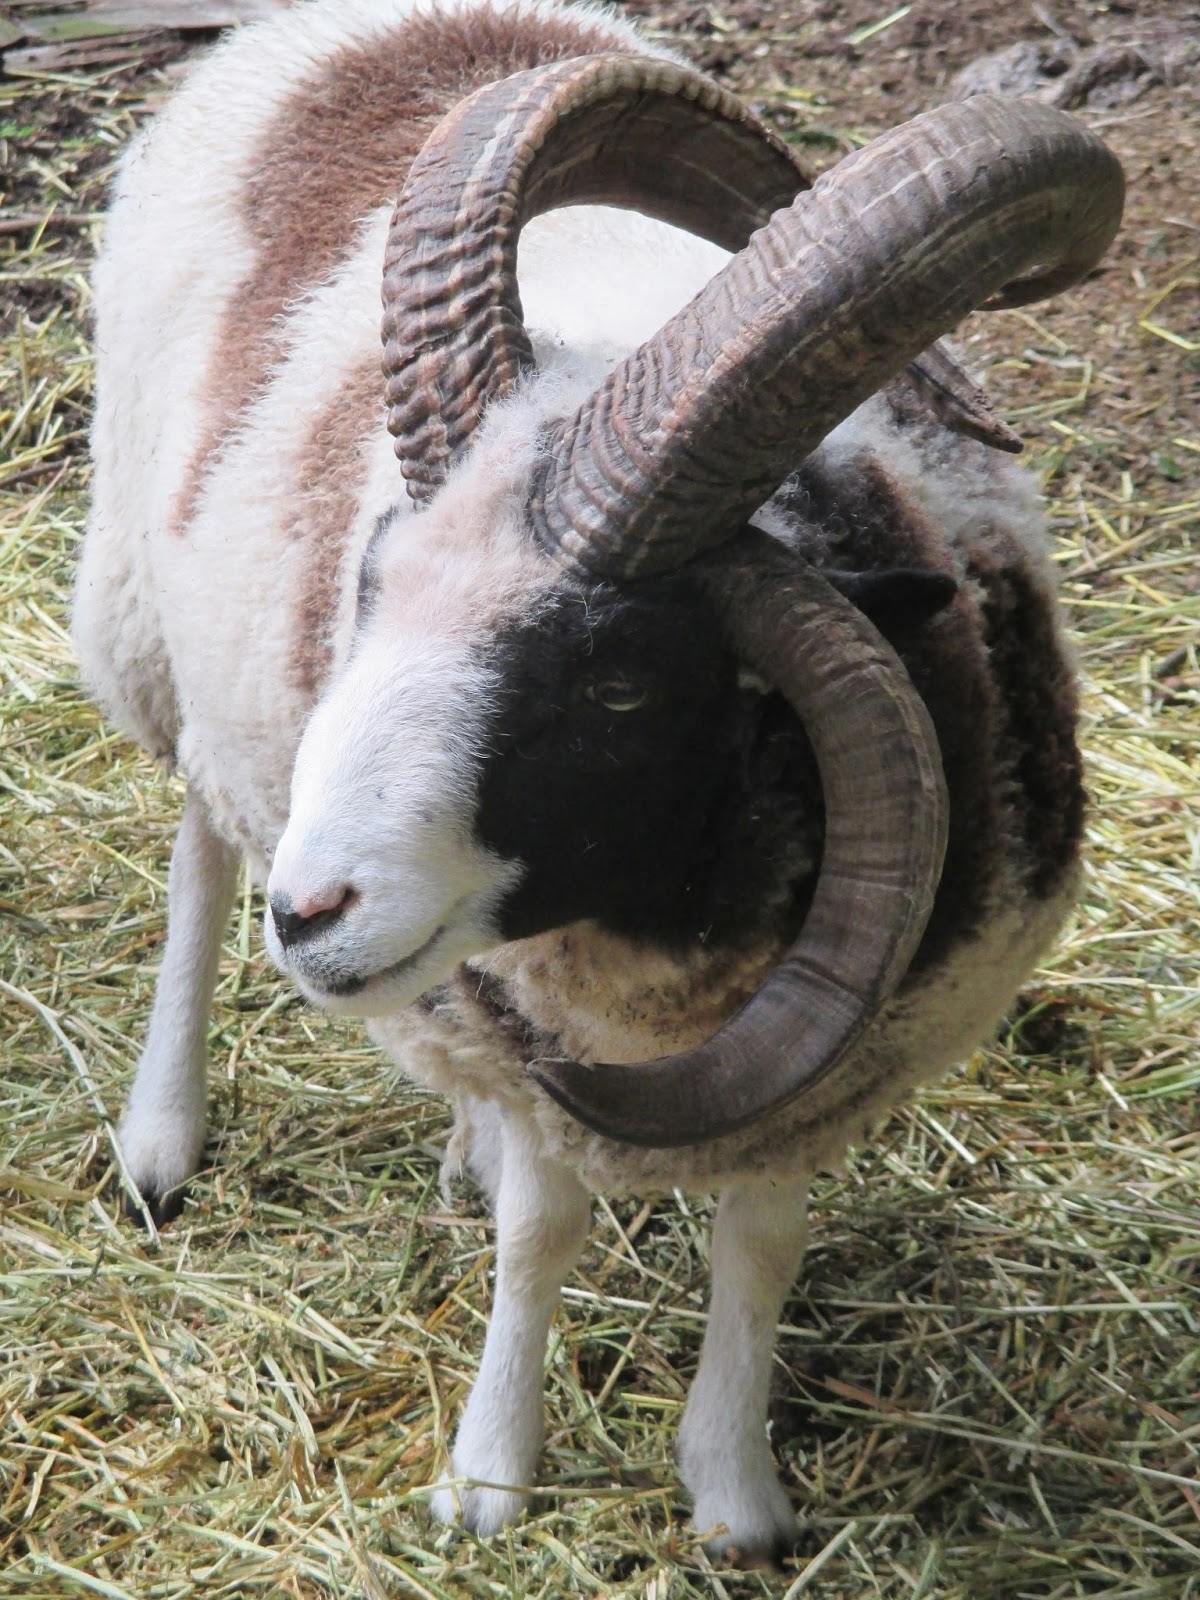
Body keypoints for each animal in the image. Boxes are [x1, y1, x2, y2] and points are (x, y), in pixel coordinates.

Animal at [72, 0, 1124, 1562]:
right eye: (371, 582)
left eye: (622, 682)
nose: (312, 914)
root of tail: (363, 25)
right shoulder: (526, 1044)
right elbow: (541, 1234)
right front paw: (492, 1476)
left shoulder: (835, 1067)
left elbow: (765, 1239)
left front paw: (735, 1493)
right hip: (159, 622)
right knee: (204, 826)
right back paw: (161, 1136)